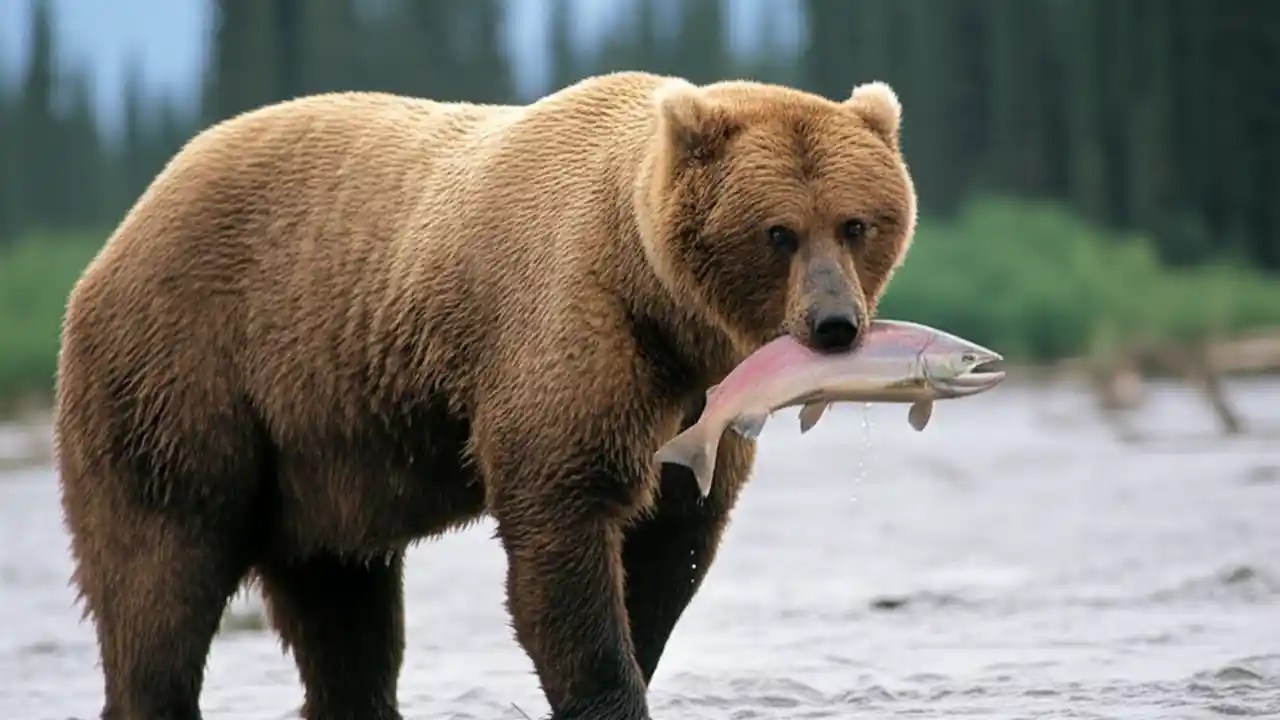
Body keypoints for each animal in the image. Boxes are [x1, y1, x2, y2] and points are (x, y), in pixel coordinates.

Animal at [53, 71, 917, 720]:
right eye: (778, 232)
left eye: (856, 223)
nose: (835, 324)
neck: (661, 307)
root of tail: (128, 222)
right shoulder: (572, 337)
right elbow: (563, 527)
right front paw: (606, 689)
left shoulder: (701, 400)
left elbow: (675, 539)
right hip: (187, 372)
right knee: (158, 570)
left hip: (313, 452)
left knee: (342, 608)